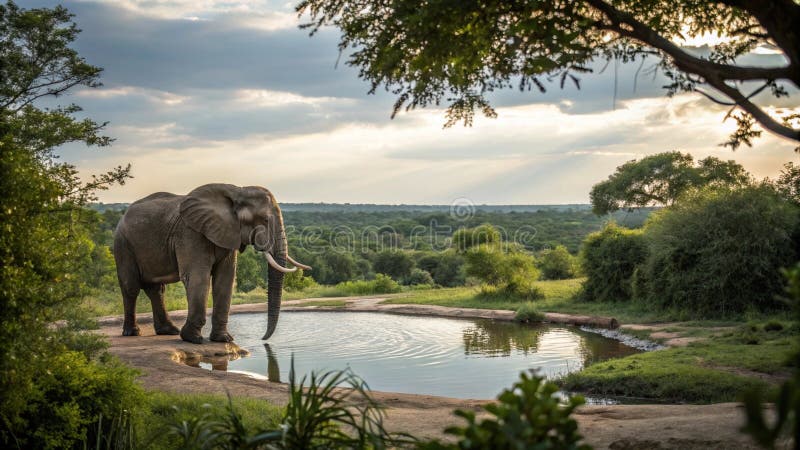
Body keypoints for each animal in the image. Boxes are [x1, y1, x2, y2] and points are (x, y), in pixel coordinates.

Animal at [113, 183, 310, 344]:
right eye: (265, 220)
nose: (263, 339)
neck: (237, 191)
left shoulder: (228, 233)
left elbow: (225, 279)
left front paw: (223, 340)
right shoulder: (190, 233)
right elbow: (197, 277)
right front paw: (193, 339)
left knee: (156, 289)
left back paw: (168, 331)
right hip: (123, 243)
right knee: (131, 287)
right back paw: (133, 333)